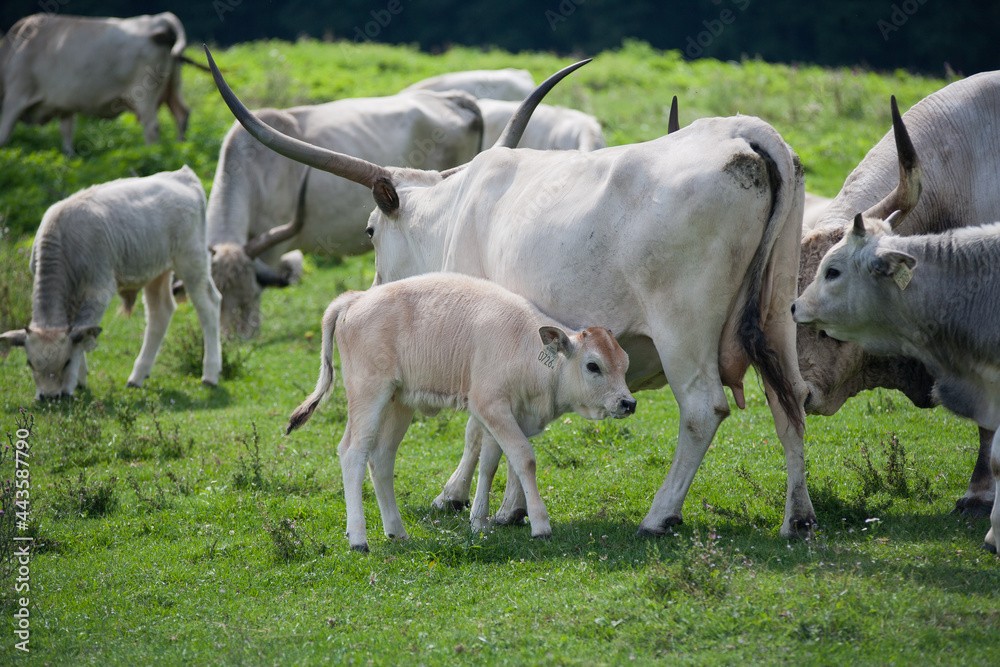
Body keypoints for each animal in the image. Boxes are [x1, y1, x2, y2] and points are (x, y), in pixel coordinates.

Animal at [0, 12, 204, 154]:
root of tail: (163, 20)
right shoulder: (65, 104)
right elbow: (67, 135)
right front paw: (69, 157)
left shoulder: (17, 94)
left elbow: (3, 134)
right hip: (172, 86)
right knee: (181, 114)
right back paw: (180, 149)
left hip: (145, 92)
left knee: (152, 126)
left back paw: (152, 155)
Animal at [0, 166, 221, 398]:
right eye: (30, 363)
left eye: (66, 362)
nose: (48, 397)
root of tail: (183, 175)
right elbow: (80, 332)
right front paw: (81, 380)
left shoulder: (99, 292)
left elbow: (81, 337)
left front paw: (69, 386)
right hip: (157, 270)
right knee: (161, 312)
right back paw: (137, 377)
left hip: (192, 261)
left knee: (208, 306)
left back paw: (210, 375)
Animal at [204, 89, 484, 337]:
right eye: (217, 296)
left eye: (248, 296)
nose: (232, 341)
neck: (256, 169)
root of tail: (453, 99)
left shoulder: (272, 248)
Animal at [286, 272, 636, 551]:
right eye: (593, 365)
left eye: (625, 363)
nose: (628, 403)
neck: (526, 350)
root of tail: (355, 299)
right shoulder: (490, 405)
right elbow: (523, 457)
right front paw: (540, 525)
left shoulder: (498, 414)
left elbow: (490, 462)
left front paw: (479, 521)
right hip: (368, 395)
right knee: (353, 452)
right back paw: (359, 539)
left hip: (399, 402)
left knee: (382, 458)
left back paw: (397, 531)